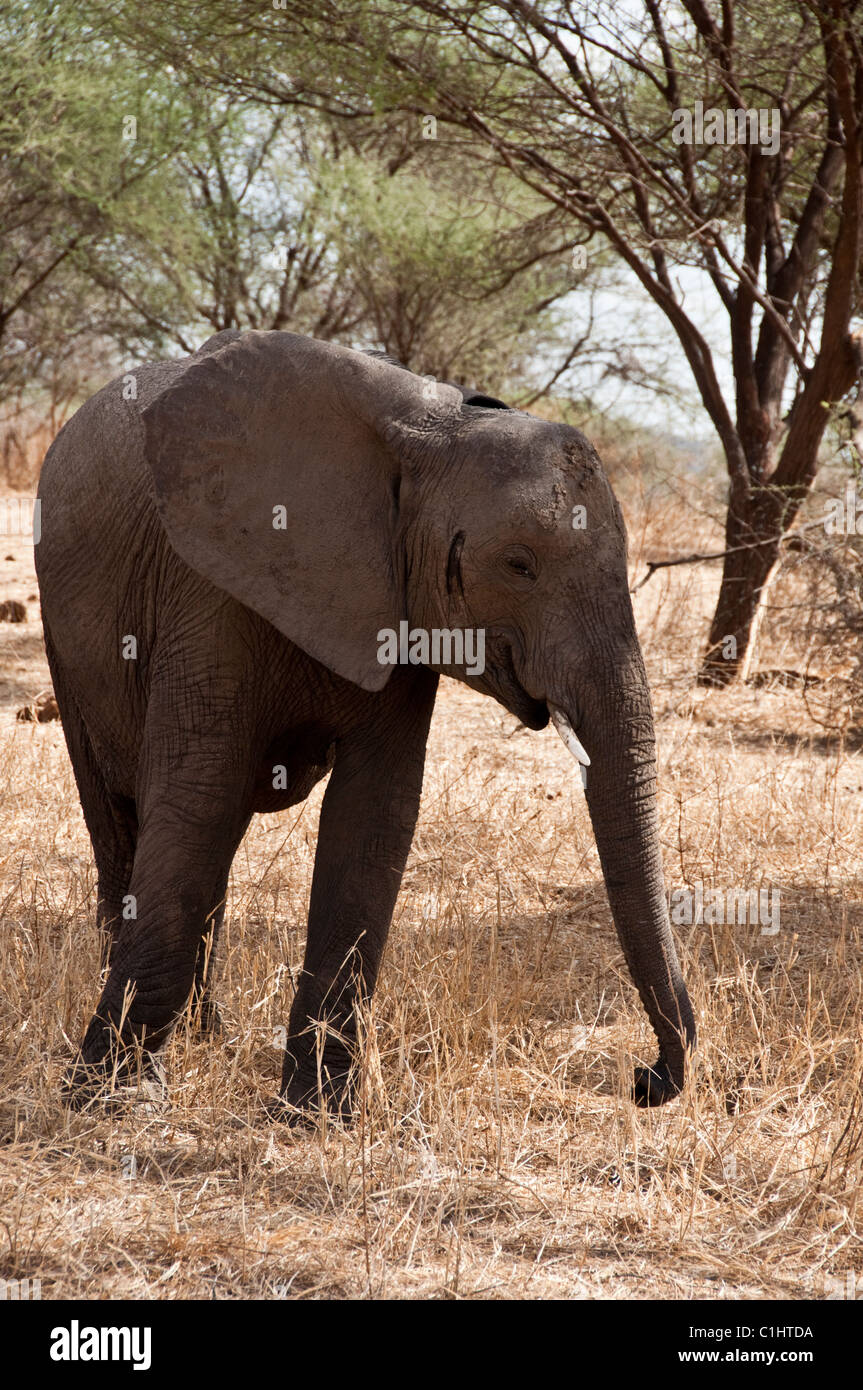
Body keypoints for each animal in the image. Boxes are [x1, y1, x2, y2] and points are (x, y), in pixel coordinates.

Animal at [35, 328, 695, 1119]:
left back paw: (203, 1035)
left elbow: (374, 811)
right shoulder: (208, 586)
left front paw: (314, 1113)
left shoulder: (398, 597)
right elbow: (199, 793)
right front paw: (111, 1100)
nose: (644, 1081)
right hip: (64, 632)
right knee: (124, 815)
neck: (437, 430)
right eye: (518, 565)